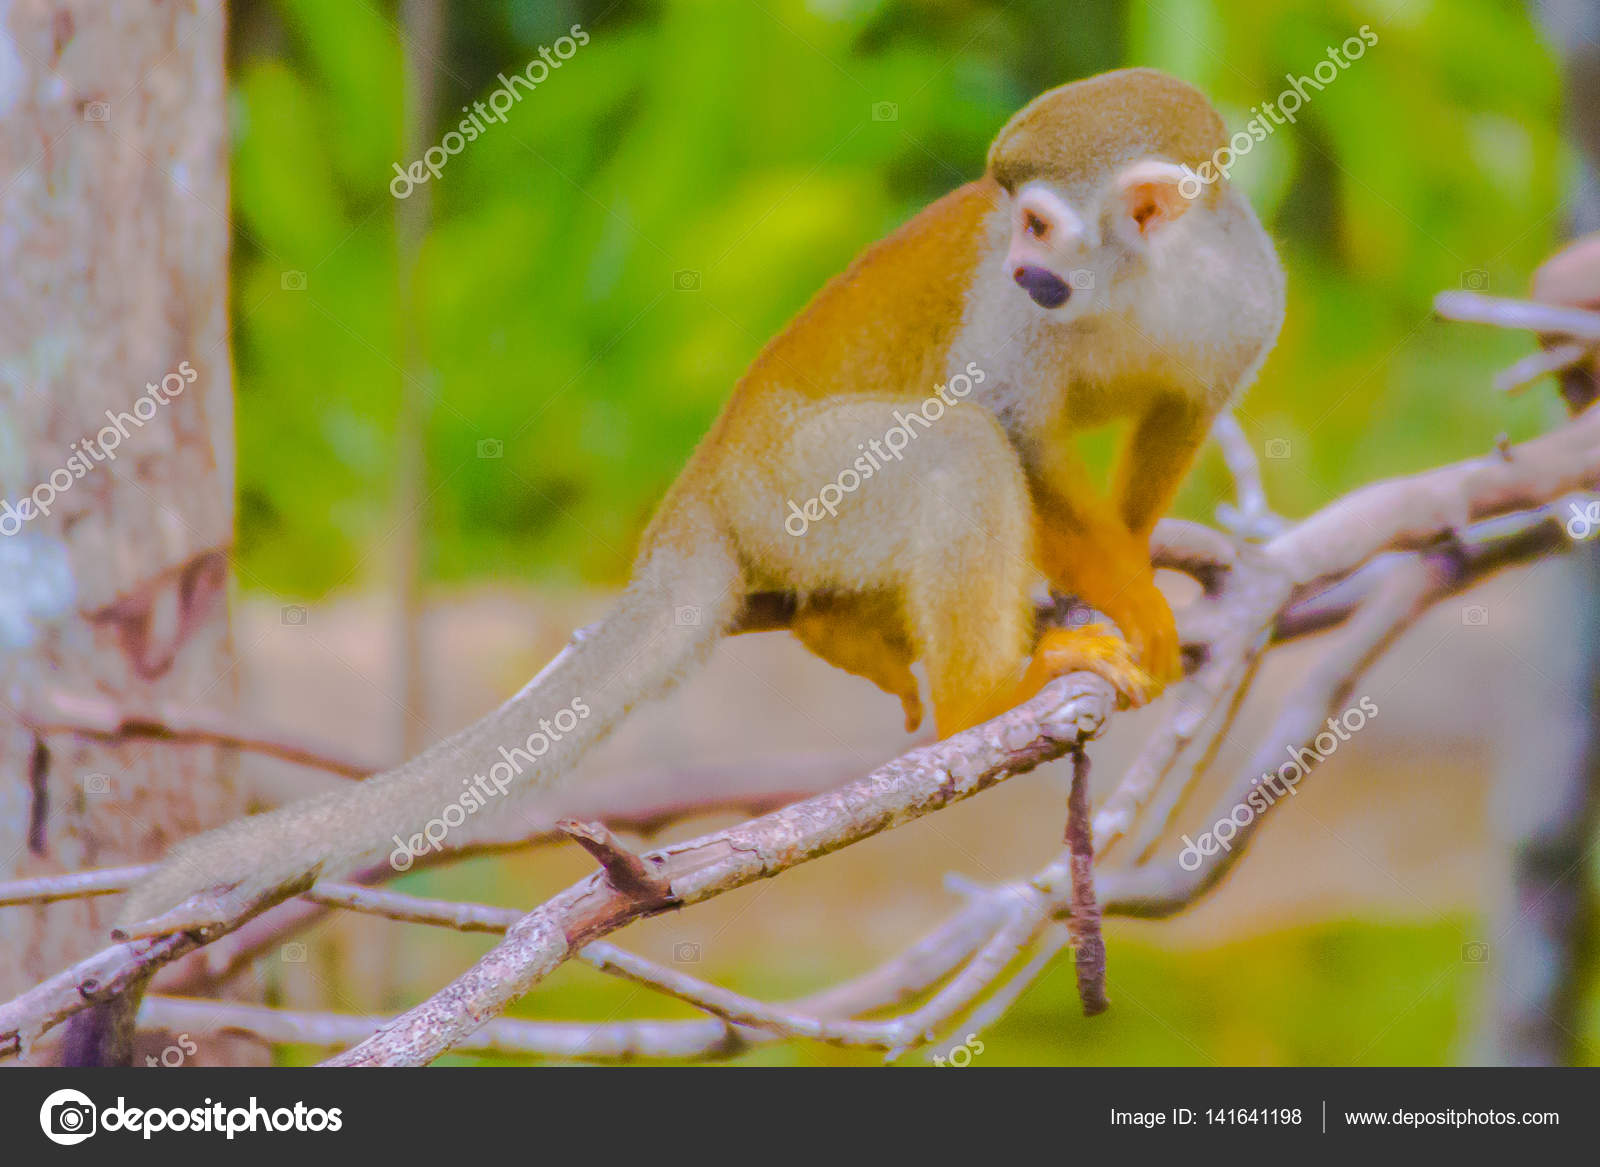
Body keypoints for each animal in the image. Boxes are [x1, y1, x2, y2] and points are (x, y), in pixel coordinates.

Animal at [118, 67, 1283, 936]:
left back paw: (853, 629)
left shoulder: (1248, 294)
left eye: (1041, 224)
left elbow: (1182, 411)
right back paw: (982, 700)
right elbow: (1011, 423)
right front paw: (1131, 599)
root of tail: (702, 480)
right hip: (793, 484)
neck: (1143, 284)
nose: (1014, 263)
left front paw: (1131, 571)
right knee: (958, 444)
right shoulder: (1016, 325)